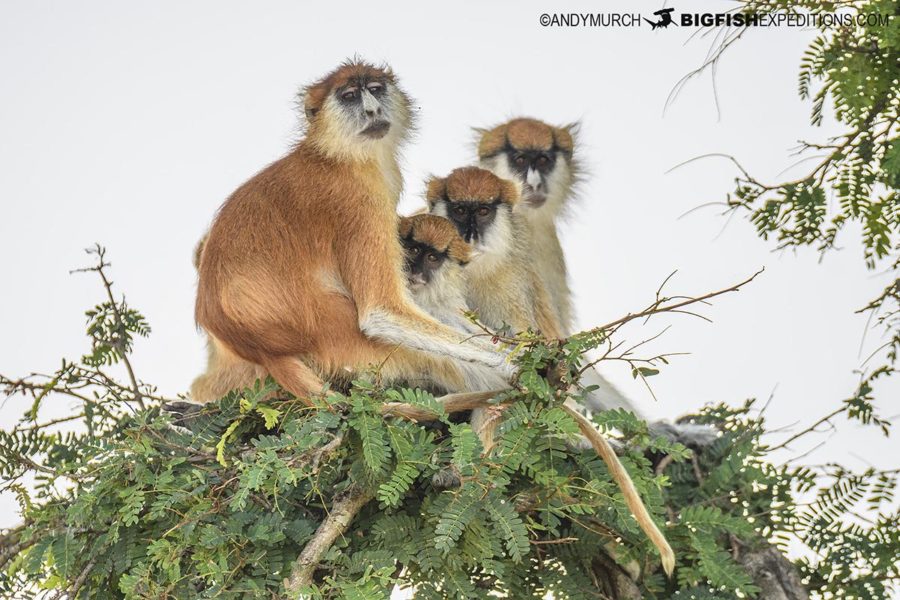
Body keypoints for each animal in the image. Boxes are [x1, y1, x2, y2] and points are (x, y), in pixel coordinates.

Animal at [193, 60, 513, 407]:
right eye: (348, 96)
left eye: (374, 89)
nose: (372, 110)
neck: (336, 154)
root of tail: (262, 349)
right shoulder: (360, 203)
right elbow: (381, 313)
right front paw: (513, 359)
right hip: (338, 335)